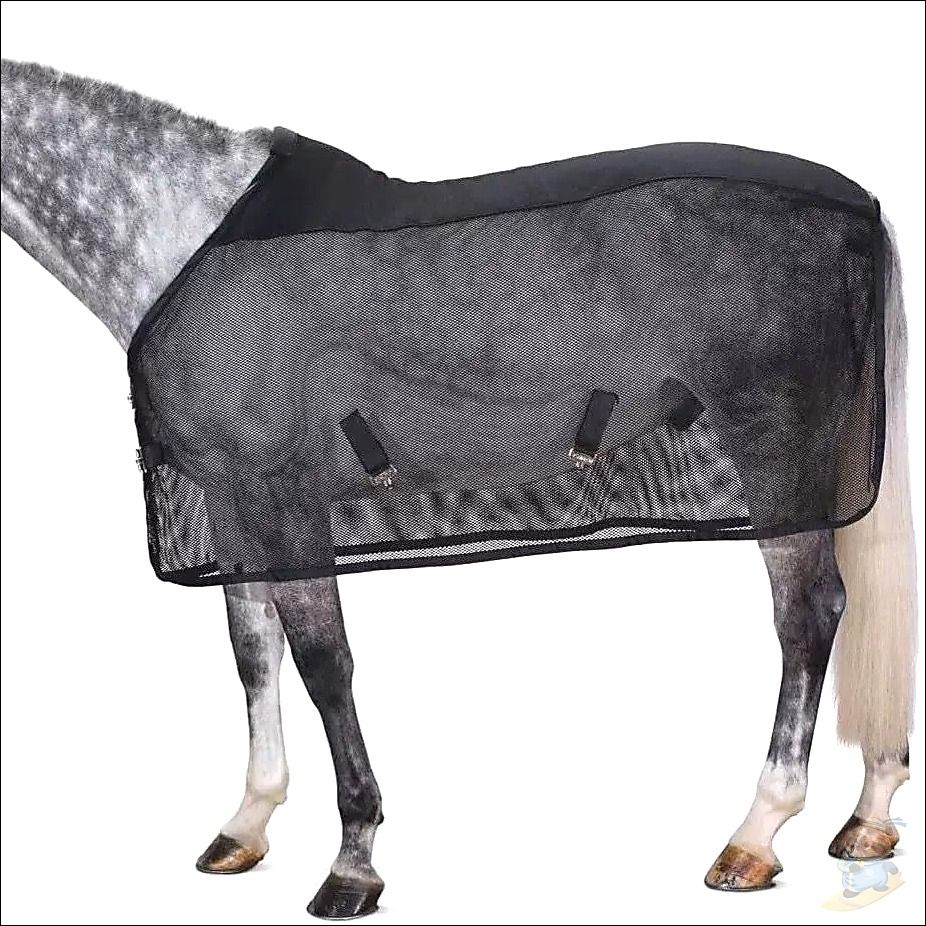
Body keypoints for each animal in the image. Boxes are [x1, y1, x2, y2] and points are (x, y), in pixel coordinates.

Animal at [0, 59, 916, 920]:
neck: (179, 228)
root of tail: (861, 209)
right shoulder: (232, 499)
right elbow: (253, 653)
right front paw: (247, 824)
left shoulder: (282, 490)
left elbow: (324, 662)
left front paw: (352, 864)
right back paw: (867, 817)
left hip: (777, 446)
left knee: (809, 615)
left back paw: (756, 834)